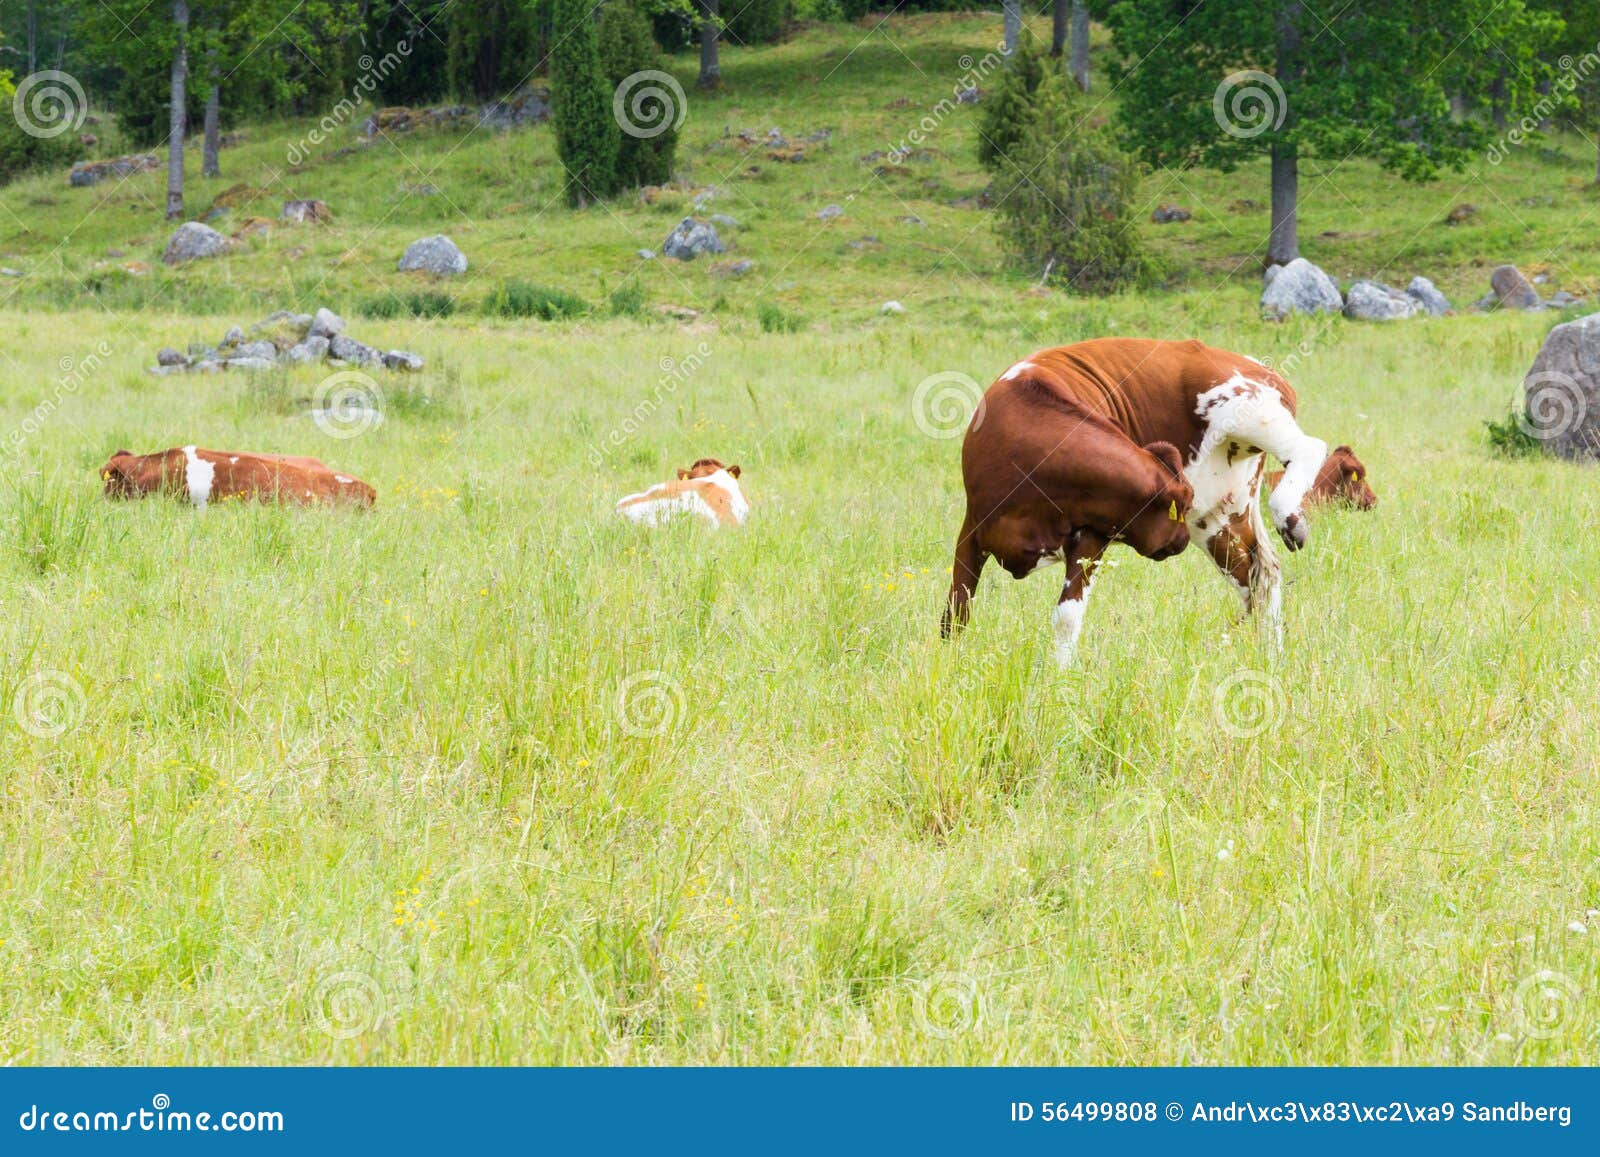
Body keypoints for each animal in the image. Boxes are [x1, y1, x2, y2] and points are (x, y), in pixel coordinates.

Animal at [943, 338, 1329, 666]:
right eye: (1179, 505)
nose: (1179, 541)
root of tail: (1256, 365)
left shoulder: (1092, 535)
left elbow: (1066, 616)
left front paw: (1060, 677)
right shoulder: (972, 529)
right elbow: (957, 610)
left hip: (1247, 410)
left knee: (1310, 448)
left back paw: (1290, 520)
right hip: (1218, 517)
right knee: (1259, 572)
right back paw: (1270, 655)